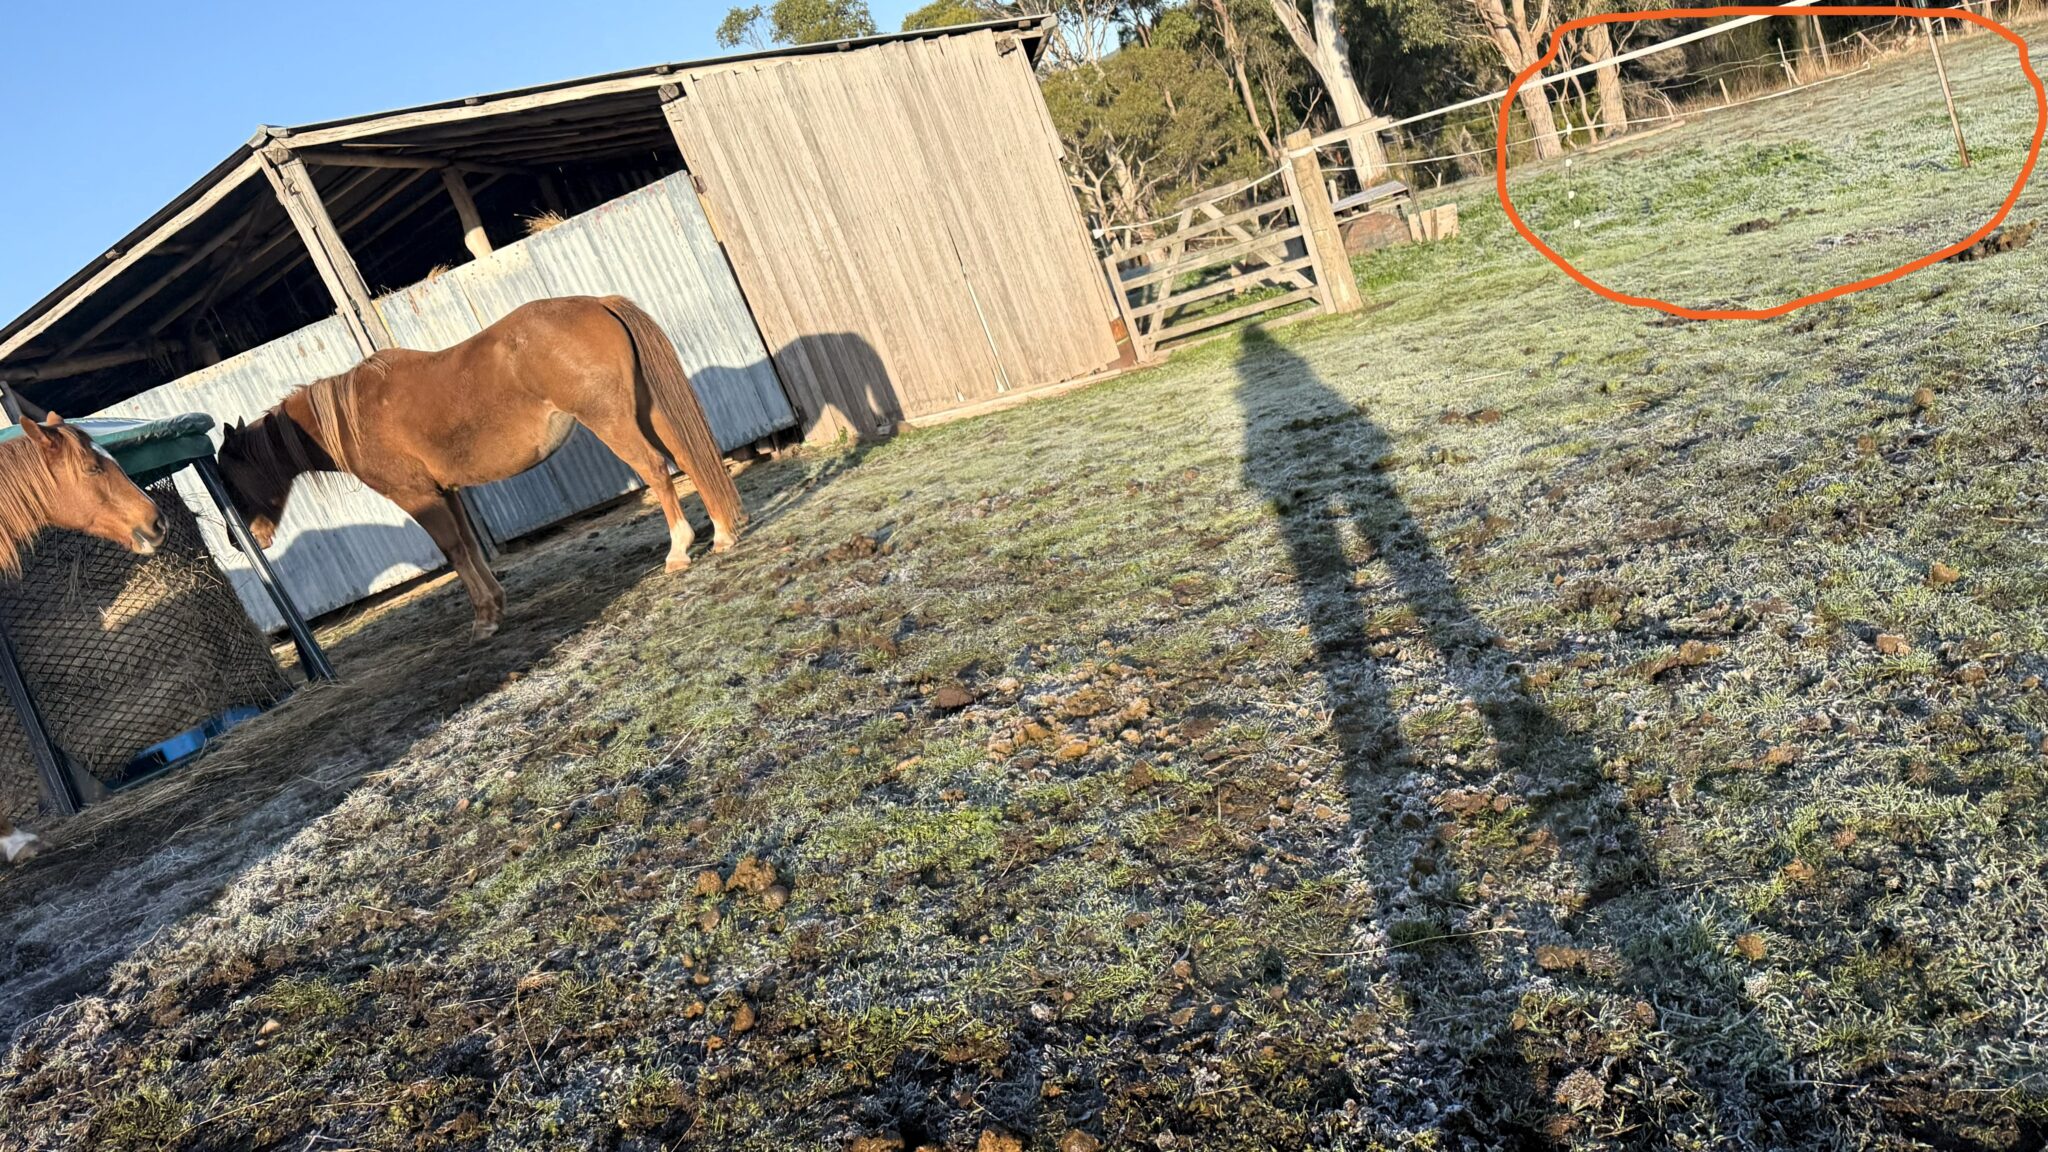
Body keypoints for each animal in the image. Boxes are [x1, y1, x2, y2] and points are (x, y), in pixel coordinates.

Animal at [216, 296, 746, 641]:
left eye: (229, 479)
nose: (241, 540)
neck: (353, 415)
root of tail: (597, 303)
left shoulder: (419, 498)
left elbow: (453, 553)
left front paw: (484, 619)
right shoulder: (447, 492)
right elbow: (469, 547)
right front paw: (496, 606)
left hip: (612, 421)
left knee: (657, 469)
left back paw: (679, 551)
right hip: (648, 411)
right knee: (688, 456)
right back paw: (722, 534)